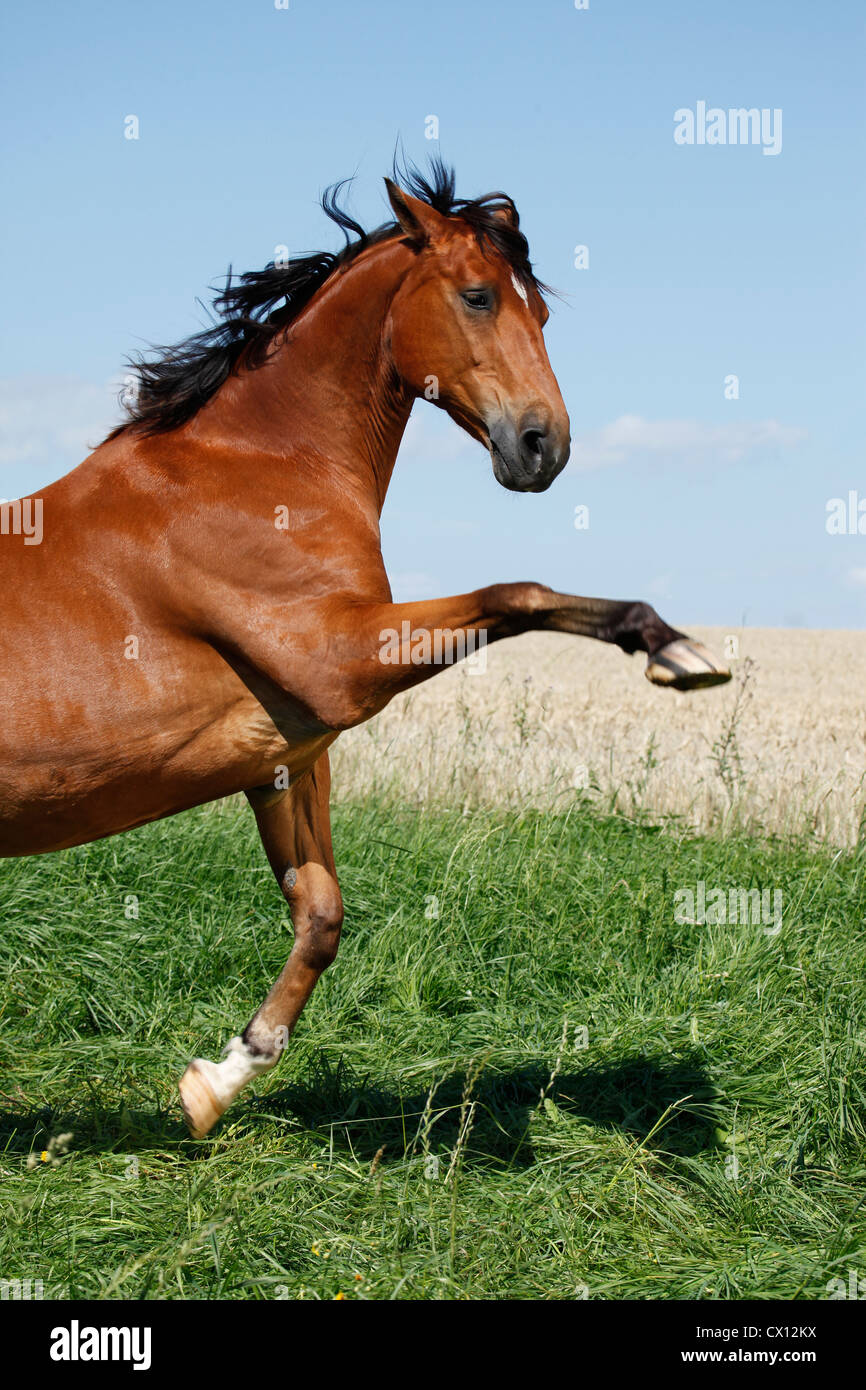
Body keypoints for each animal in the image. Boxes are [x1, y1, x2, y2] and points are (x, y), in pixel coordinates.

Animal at [0, 160, 730, 1138]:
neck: (261, 472)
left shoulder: (286, 752)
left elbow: (321, 918)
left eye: (540, 310)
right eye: (477, 295)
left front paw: (214, 1083)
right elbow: (517, 595)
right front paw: (674, 650)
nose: (545, 446)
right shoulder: (336, 664)